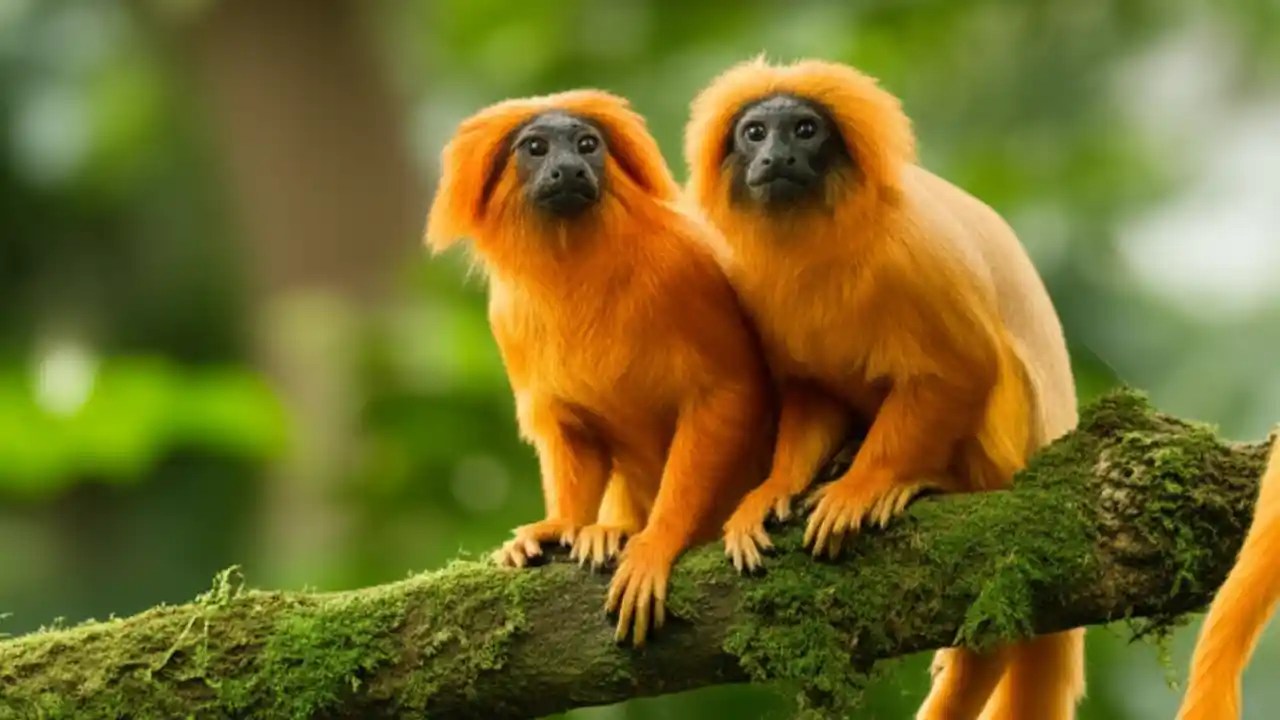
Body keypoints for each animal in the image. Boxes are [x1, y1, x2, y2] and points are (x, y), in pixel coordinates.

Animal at [424, 89, 773, 647]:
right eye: (537, 148)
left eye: (587, 145)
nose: (569, 168)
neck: (576, 269)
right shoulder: (507, 318)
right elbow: (570, 428)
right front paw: (558, 524)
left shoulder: (685, 270)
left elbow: (728, 393)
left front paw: (655, 541)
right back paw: (607, 531)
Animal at [683, 57, 1084, 720]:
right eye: (755, 134)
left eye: (805, 130)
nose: (777, 157)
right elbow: (813, 391)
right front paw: (774, 488)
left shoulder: (913, 253)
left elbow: (963, 366)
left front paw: (864, 486)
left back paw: (928, 480)